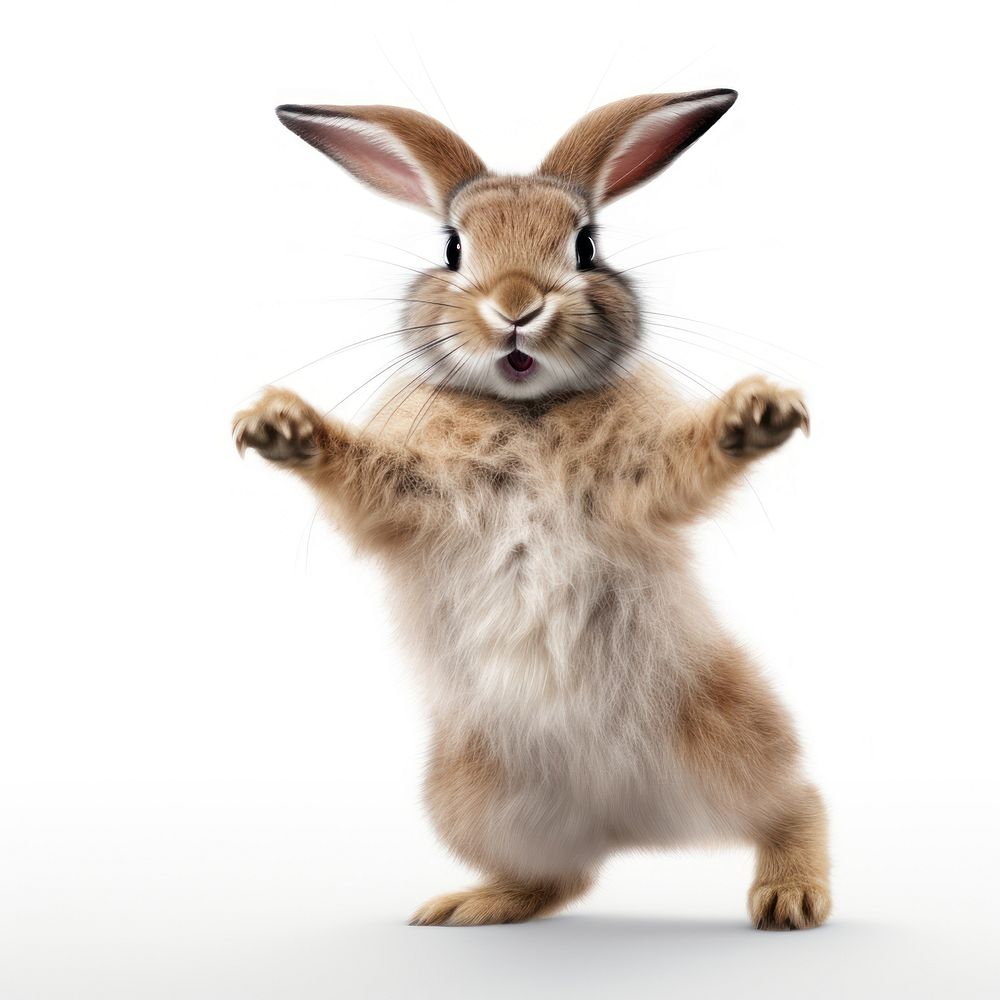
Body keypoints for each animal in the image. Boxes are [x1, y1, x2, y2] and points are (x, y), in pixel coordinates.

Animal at [233, 90, 830, 930]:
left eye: (586, 245)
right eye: (453, 248)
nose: (516, 305)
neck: (525, 412)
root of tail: (631, 823)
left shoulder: (632, 481)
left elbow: (684, 462)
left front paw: (757, 413)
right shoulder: (411, 494)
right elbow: (361, 475)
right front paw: (281, 426)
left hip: (733, 729)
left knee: (796, 805)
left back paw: (790, 896)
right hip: (478, 796)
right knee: (561, 879)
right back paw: (467, 906)